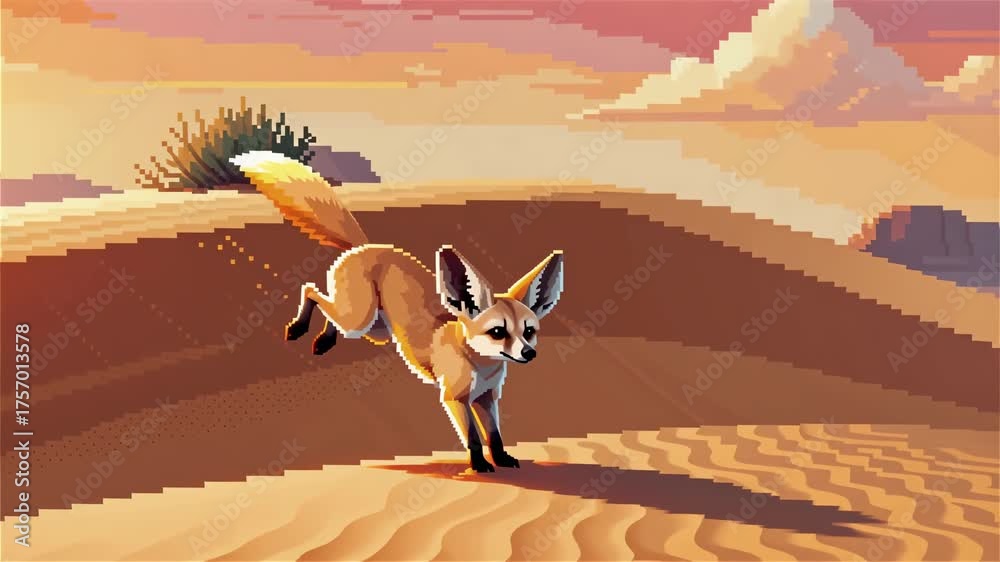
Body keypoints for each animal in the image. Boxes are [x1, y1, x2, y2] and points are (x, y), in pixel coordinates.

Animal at [231, 151, 564, 473]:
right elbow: (473, 438)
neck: (480, 365)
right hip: (360, 321)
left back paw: (324, 340)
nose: (529, 353)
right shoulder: (454, 398)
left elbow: (494, 435)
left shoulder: (486, 397)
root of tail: (365, 247)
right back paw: (299, 328)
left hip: (373, 329)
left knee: (328, 310)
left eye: (529, 331)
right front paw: (479, 465)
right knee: (310, 289)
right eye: (497, 332)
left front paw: (502, 458)